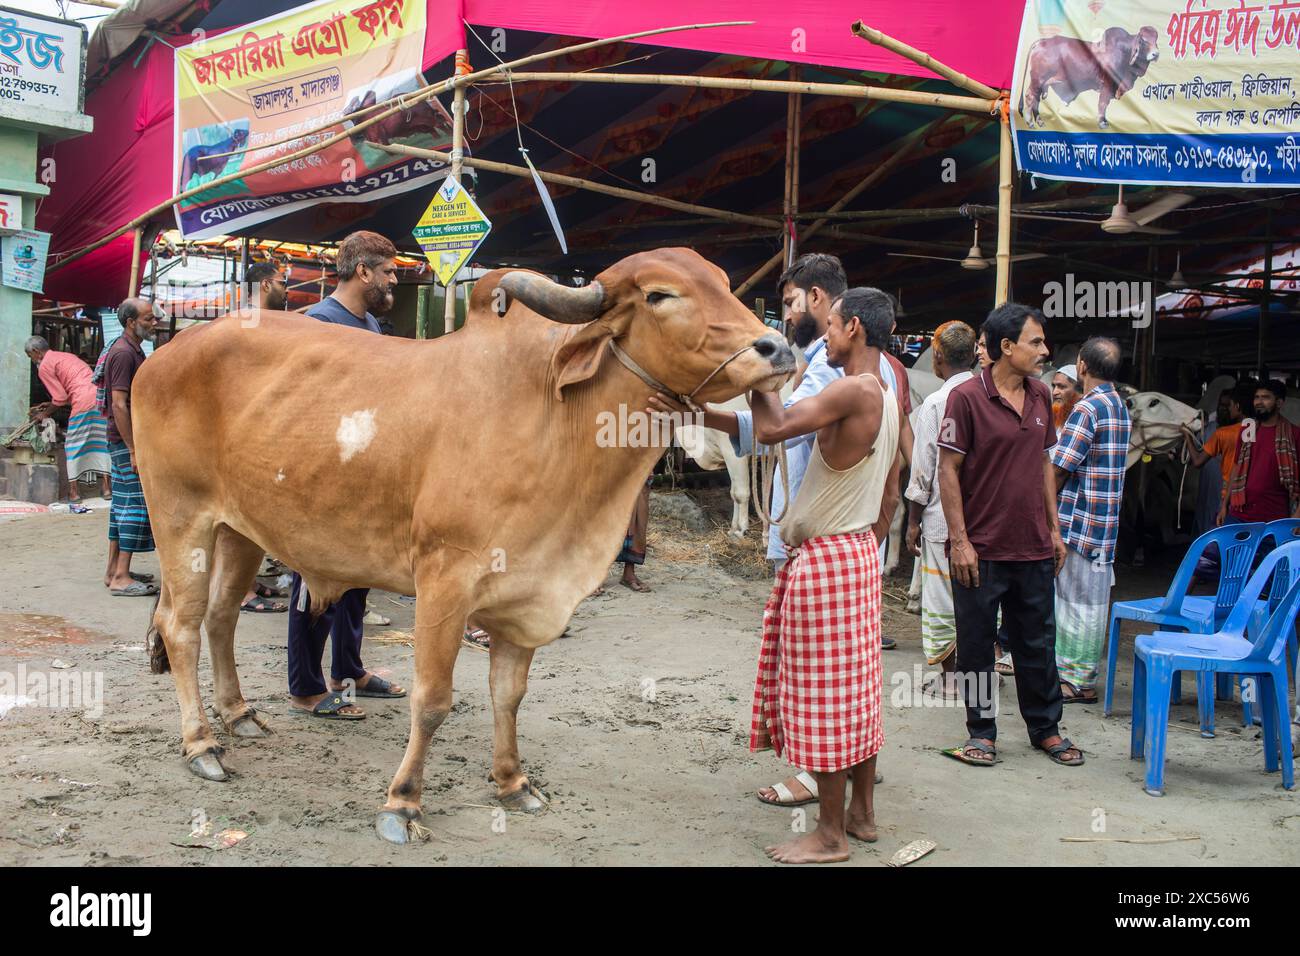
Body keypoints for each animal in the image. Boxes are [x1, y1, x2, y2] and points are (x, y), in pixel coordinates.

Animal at [131, 248, 796, 845]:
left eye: (724, 284)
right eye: (660, 295)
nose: (780, 349)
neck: (552, 417)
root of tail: (166, 352)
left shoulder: (525, 594)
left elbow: (509, 693)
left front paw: (513, 782)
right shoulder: (445, 580)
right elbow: (432, 699)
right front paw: (402, 803)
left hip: (241, 530)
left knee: (221, 619)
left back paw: (240, 715)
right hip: (180, 517)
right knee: (181, 625)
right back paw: (201, 744)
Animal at [1019, 25, 1160, 129]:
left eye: (1155, 40)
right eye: (1143, 40)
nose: (1156, 54)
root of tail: (1043, 41)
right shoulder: (1108, 84)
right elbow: (1103, 103)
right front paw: (1102, 122)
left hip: (1041, 83)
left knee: (1036, 99)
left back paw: (1039, 121)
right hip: (1038, 79)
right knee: (1030, 96)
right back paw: (1029, 121)